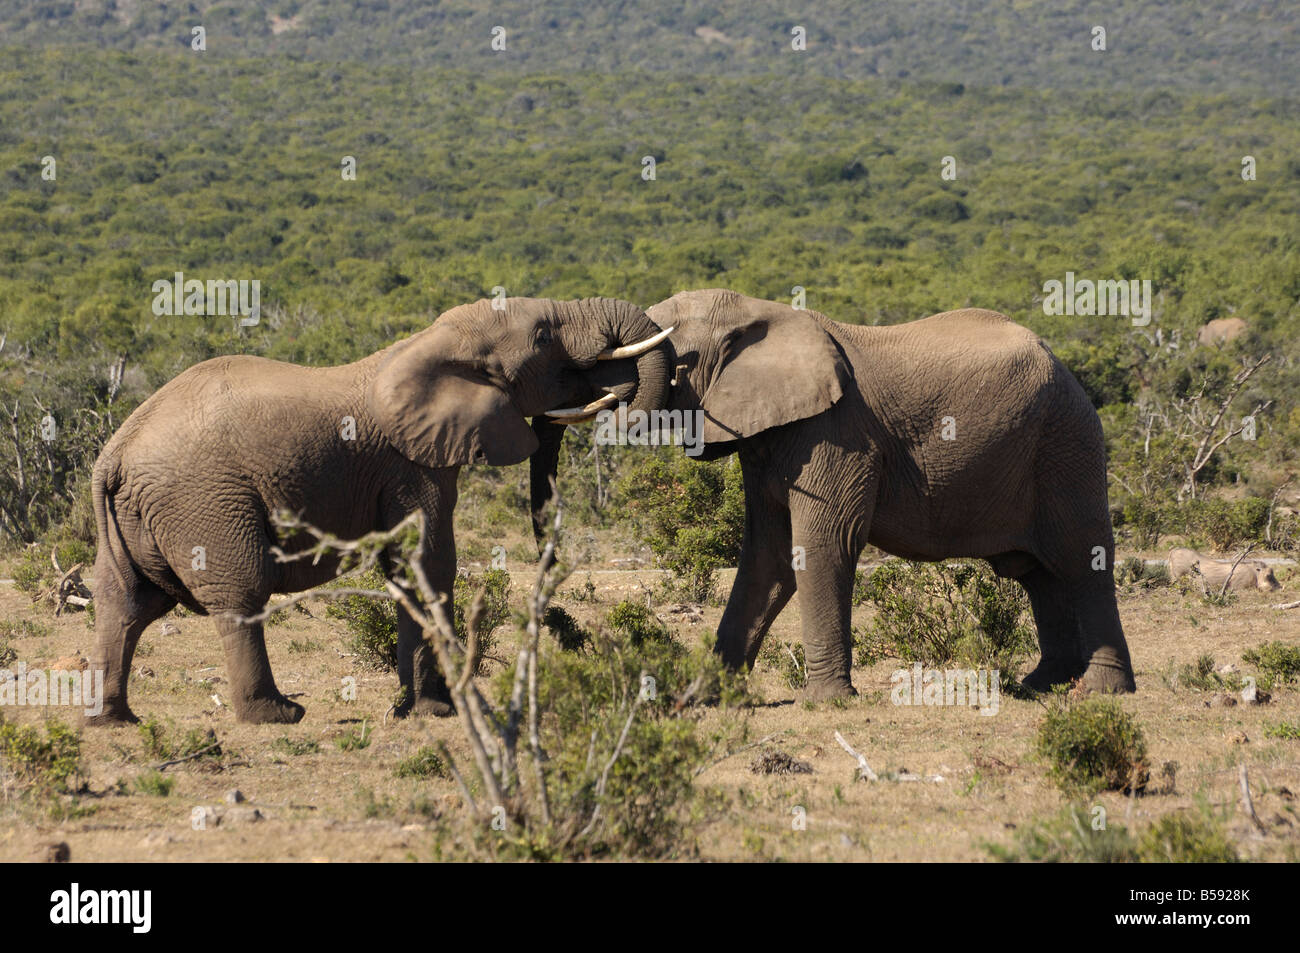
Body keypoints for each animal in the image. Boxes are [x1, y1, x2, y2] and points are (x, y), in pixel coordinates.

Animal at [87, 296, 673, 725]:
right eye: (545, 336)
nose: (609, 391)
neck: (430, 343)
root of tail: (115, 453)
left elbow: (407, 567)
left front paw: (413, 708)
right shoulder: (411, 465)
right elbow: (428, 562)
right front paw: (435, 711)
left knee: (128, 602)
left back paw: (115, 720)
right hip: (203, 502)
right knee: (239, 592)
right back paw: (277, 715)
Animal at [536, 289, 1136, 698]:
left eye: (670, 343)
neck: (762, 316)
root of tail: (1062, 362)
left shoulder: (837, 432)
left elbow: (825, 544)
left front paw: (826, 701)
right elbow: (769, 556)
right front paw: (706, 695)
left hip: (1067, 441)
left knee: (1080, 557)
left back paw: (1102, 691)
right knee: (1035, 573)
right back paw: (1040, 686)